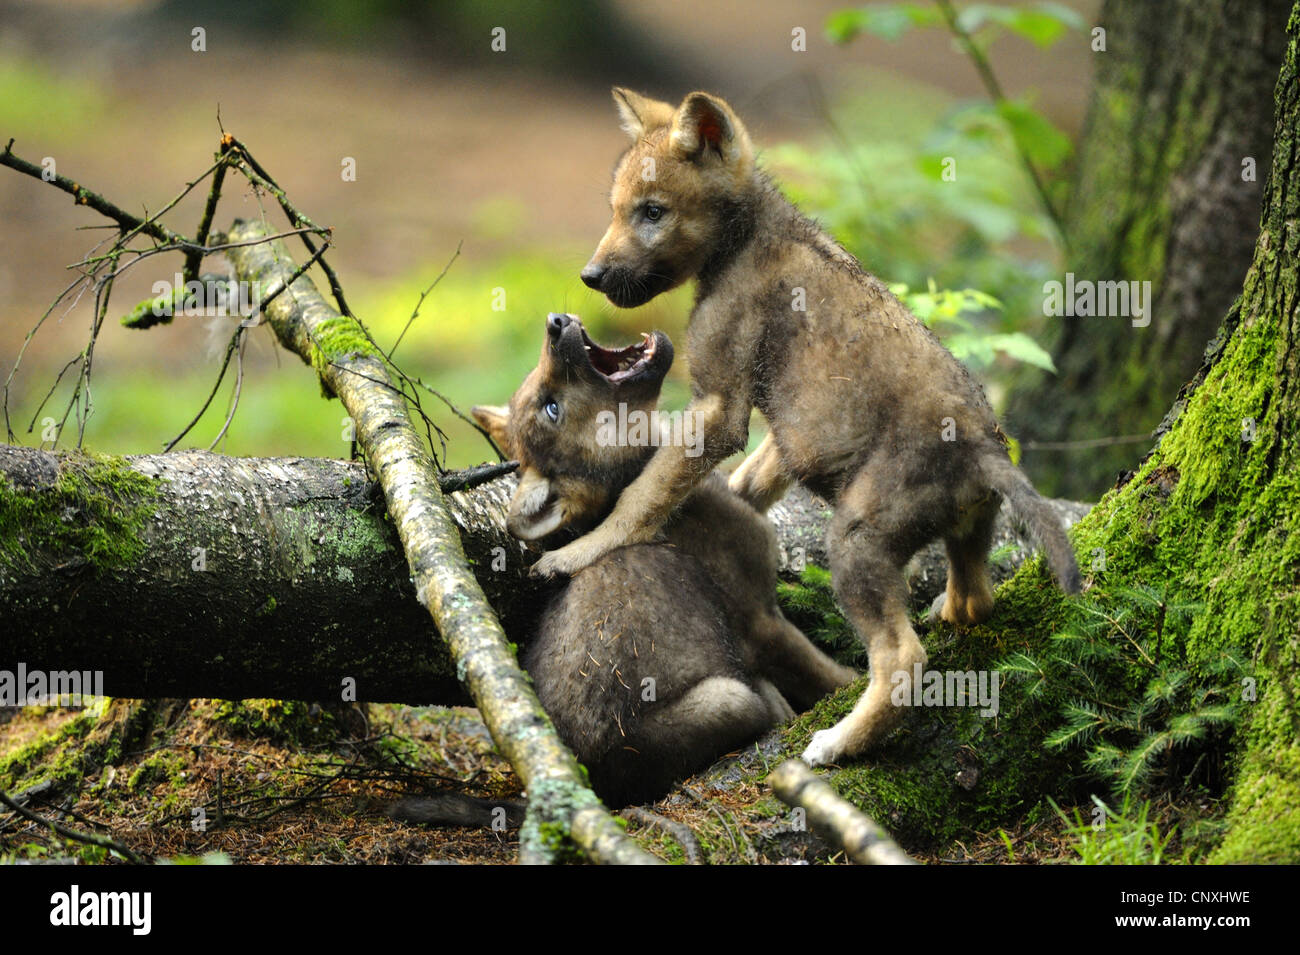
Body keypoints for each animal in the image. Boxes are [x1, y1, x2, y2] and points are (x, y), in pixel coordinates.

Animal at [531, 88, 1081, 768]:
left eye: (652, 211)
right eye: (614, 208)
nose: (590, 277)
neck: (744, 239)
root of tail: (986, 452)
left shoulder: (720, 405)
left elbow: (641, 497)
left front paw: (577, 553)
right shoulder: (780, 429)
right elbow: (742, 484)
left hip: (854, 542)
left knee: (903, 660)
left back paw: (835, 744)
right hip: (966, 531)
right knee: (976, 601)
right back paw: (945, 614)